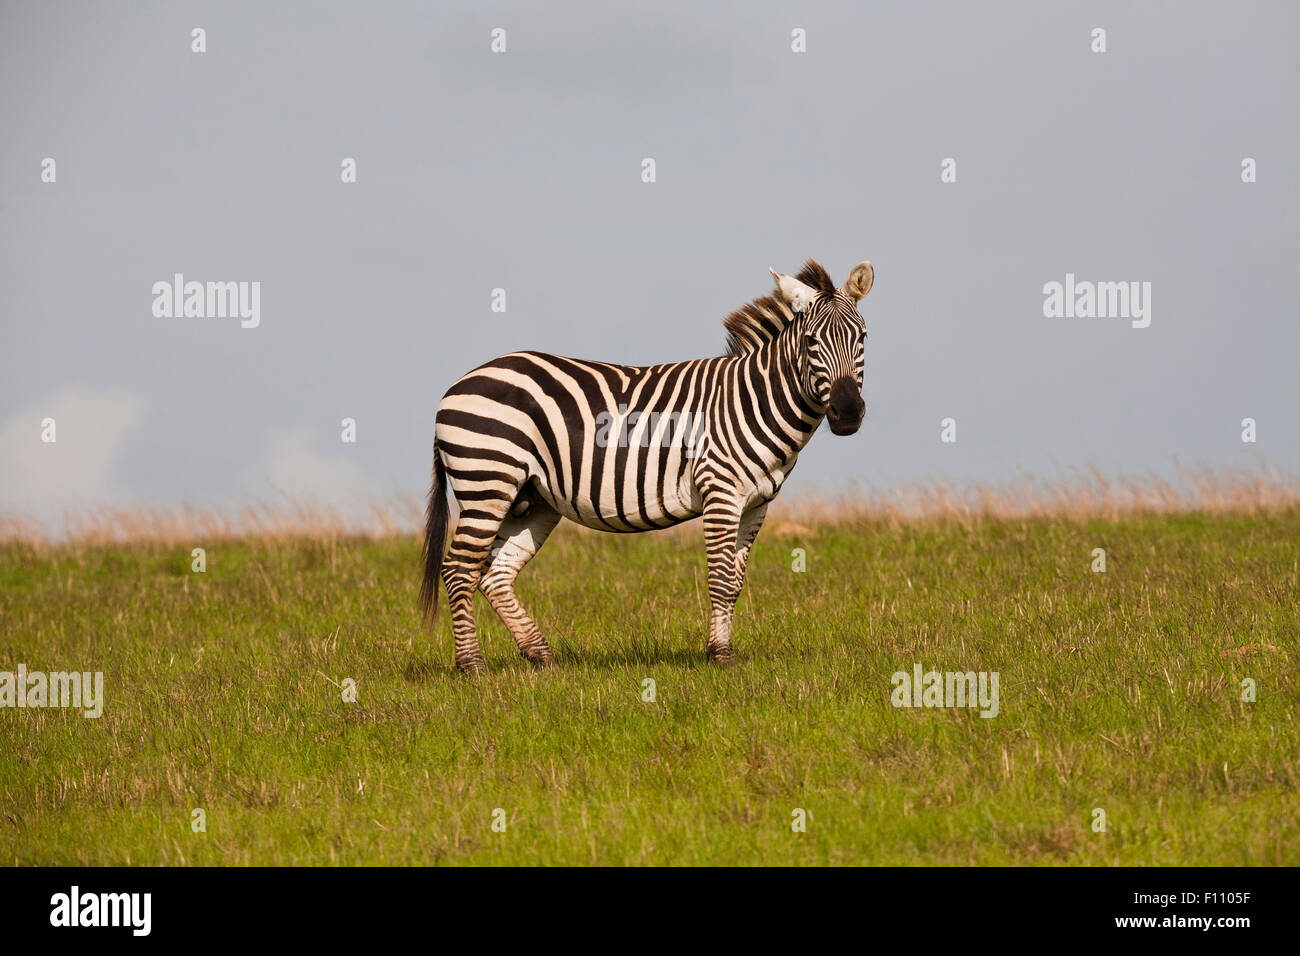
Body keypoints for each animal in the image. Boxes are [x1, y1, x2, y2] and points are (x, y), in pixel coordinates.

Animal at [420, 258, 874, 672]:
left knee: (495, 574)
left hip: (532, 498)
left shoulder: (758, 503)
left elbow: (735, 583)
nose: (848, 413)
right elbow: (719, 578)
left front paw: (722, 651)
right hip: (488, 480)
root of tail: (457, 385)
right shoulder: (720, 491)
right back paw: (472, 666)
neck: (753, 400)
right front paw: (720, 657)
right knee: (459, 569)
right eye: (811, 342)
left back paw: (543, 658)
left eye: (863, 338)